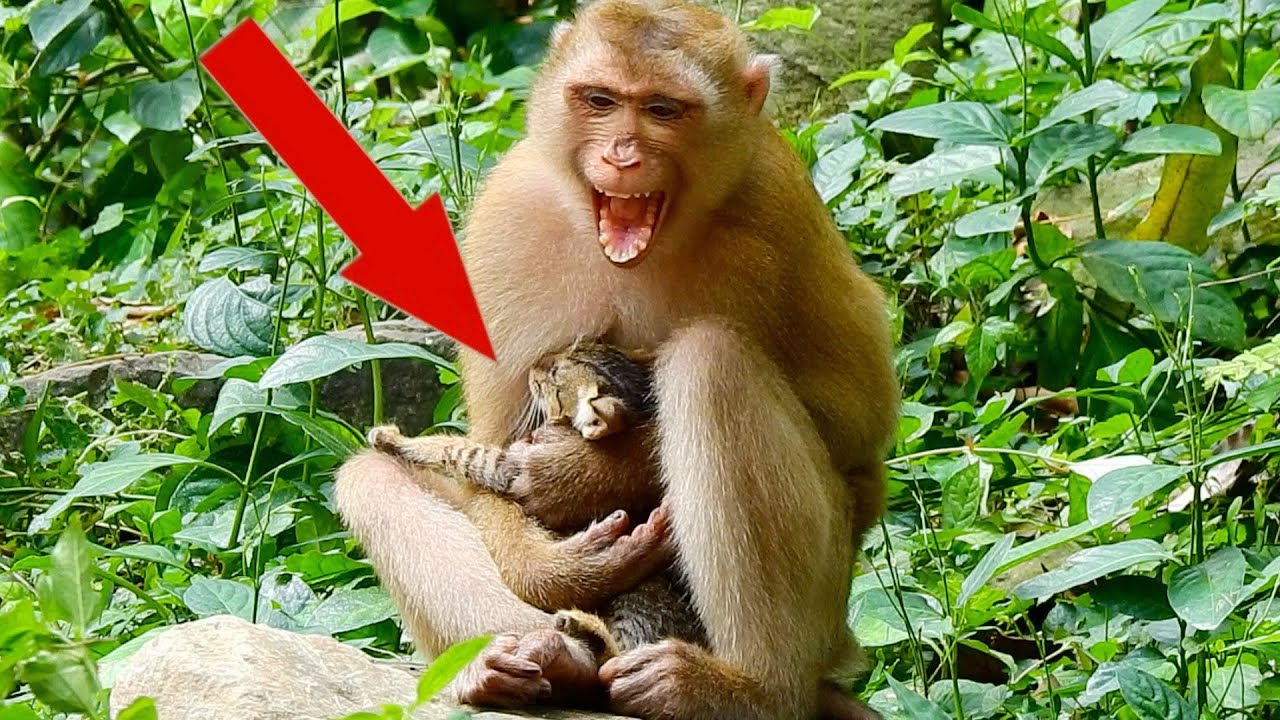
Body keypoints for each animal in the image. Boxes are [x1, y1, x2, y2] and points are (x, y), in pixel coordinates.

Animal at [333, 1, 898, 718]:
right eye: (600, 100)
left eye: (663, 109)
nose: (622, 156)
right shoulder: (504, 219)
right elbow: (491, 440)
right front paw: (562, 566)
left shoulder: (780, 207)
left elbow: (855, 432)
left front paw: (581, 477)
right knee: (373, 478)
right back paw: (544, 659)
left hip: (827, 614)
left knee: (712, 362)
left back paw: (745, 690)